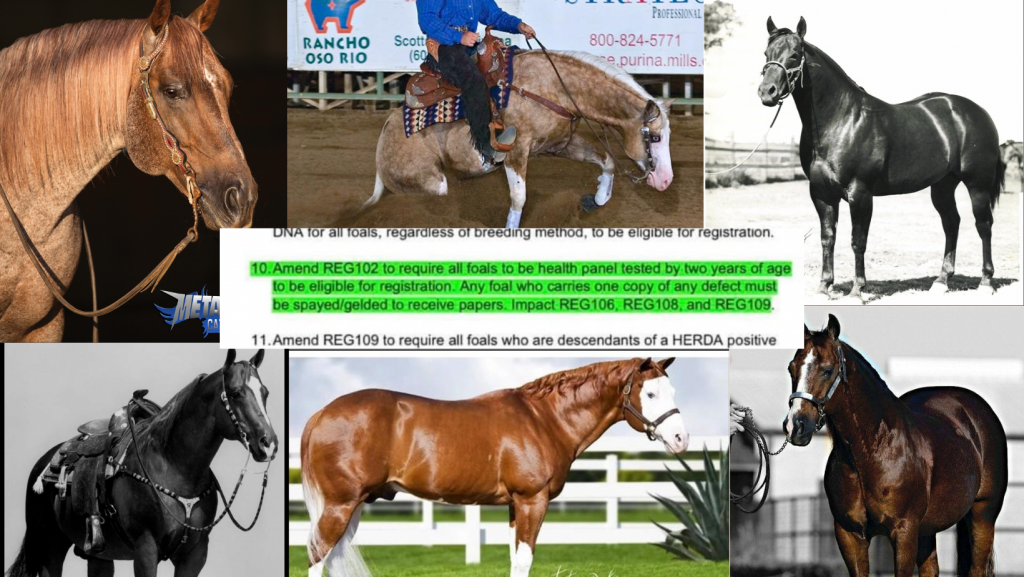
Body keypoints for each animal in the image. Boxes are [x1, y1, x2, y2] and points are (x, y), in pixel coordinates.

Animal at [5, 349, 278, 577]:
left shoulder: (195, 554)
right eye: (235, 393)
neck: (173, 467)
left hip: (99, 555)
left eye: (265, 392)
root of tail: (44, 463)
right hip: (49, 545)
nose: (269, 443)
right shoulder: (146, 549)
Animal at [301, 357, 688, 577]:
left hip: (354, 506)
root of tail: (321, 414)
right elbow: (525, 560)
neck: (543, 419)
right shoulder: (533, 500)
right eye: (649, 394)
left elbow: (515, 560)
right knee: (318, 556)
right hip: (340, 505)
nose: (681, 437)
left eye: (671, 390)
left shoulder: (516, 505)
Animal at [368, 50, 675, 228]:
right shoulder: (516, 152)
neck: (554, 87)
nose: (665, 181)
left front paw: (597, 198)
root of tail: (384, 134)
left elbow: (607, 160)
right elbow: (519, 197)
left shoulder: (560, 144)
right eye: (655, 137)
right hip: (429, 182)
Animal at [758, 17, 1008, 301]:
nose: (767, 92)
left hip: (978, 184)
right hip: (943, 186)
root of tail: (977, 112)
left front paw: (857, 291)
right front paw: (824, 287)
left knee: (983, 224)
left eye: (794, 55)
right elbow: (827, 238)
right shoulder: (821, 193)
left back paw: (986, 282)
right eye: (766, 54)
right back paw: (941, 281)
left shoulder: (859, 193)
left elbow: (858, 241)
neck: (842, 119)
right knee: (951, 223)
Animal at [784, 314, 1008, 577]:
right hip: (928, 528)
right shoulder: (850, 534)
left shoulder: (904, 531)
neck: (870, 451)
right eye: (791, 368)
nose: (795, 426)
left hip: (983, 515)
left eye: (828, 370)